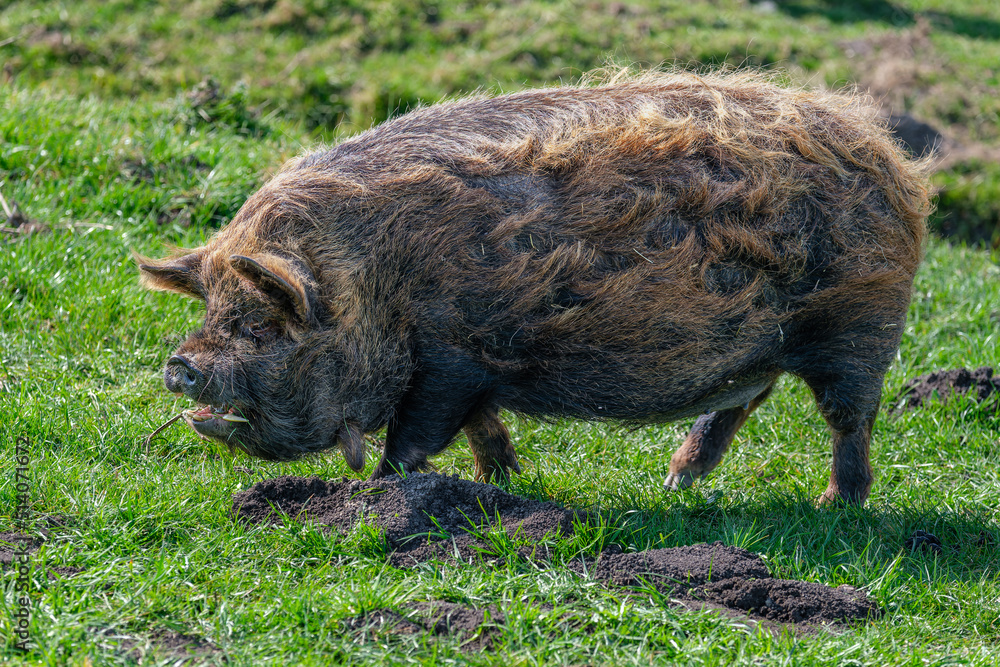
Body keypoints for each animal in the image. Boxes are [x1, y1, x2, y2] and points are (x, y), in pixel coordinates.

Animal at [138, 70, 931, 505]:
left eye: (261, 327)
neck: (373, 280)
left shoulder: (450, 355)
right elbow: (483, 428)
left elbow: (415, 436)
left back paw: (836, 505)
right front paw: (503, 484)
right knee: (741, 400)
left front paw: (380, 494)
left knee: (849, 418)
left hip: (859, 326)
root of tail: (890, 158)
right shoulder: (475, 363)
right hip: (762, 346)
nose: (181, 365)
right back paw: (674, 483)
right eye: (211, 310)